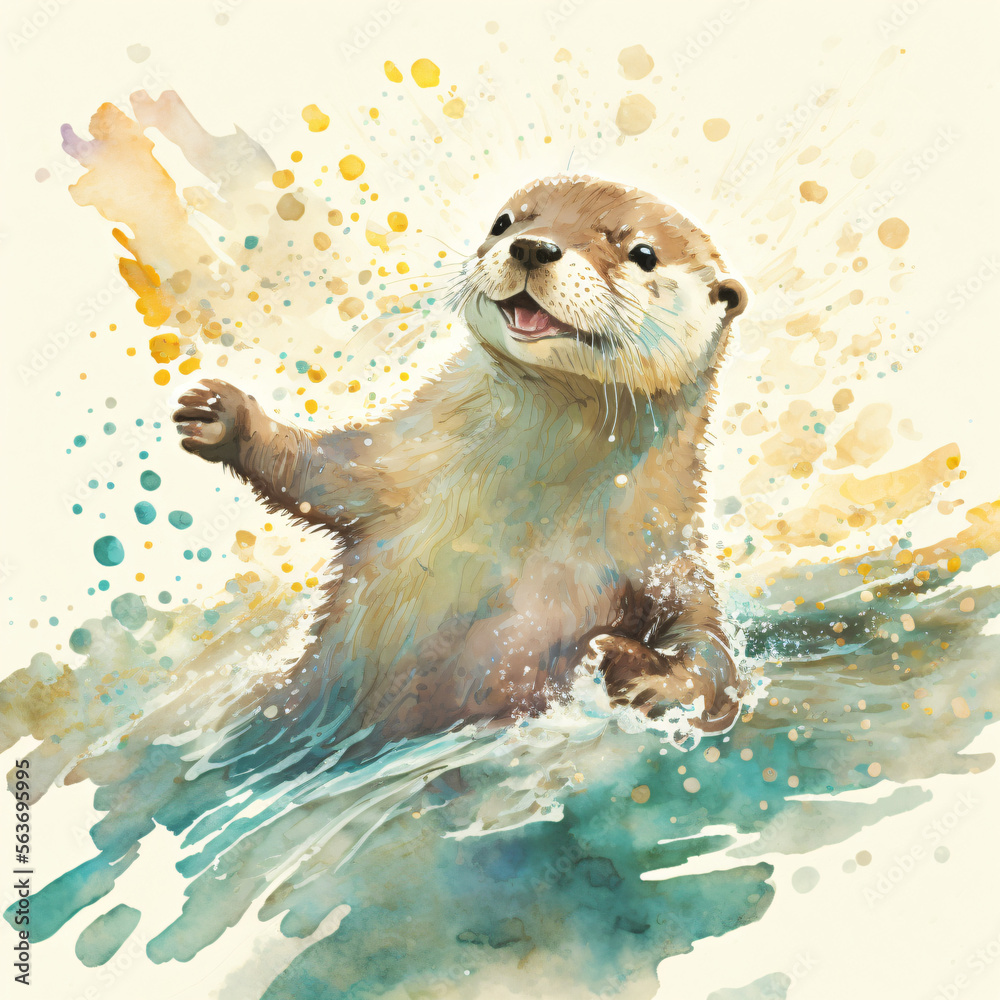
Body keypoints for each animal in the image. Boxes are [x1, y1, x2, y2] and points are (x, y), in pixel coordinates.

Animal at [172, 175, 749, 744]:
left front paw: (642, 674)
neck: (521, 506)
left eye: (643, 253)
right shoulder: (397, 466)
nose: (533, 246)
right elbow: (319, 473)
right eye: (505, 222)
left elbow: (712, 654)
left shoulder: (661, 547)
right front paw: (225, 416)